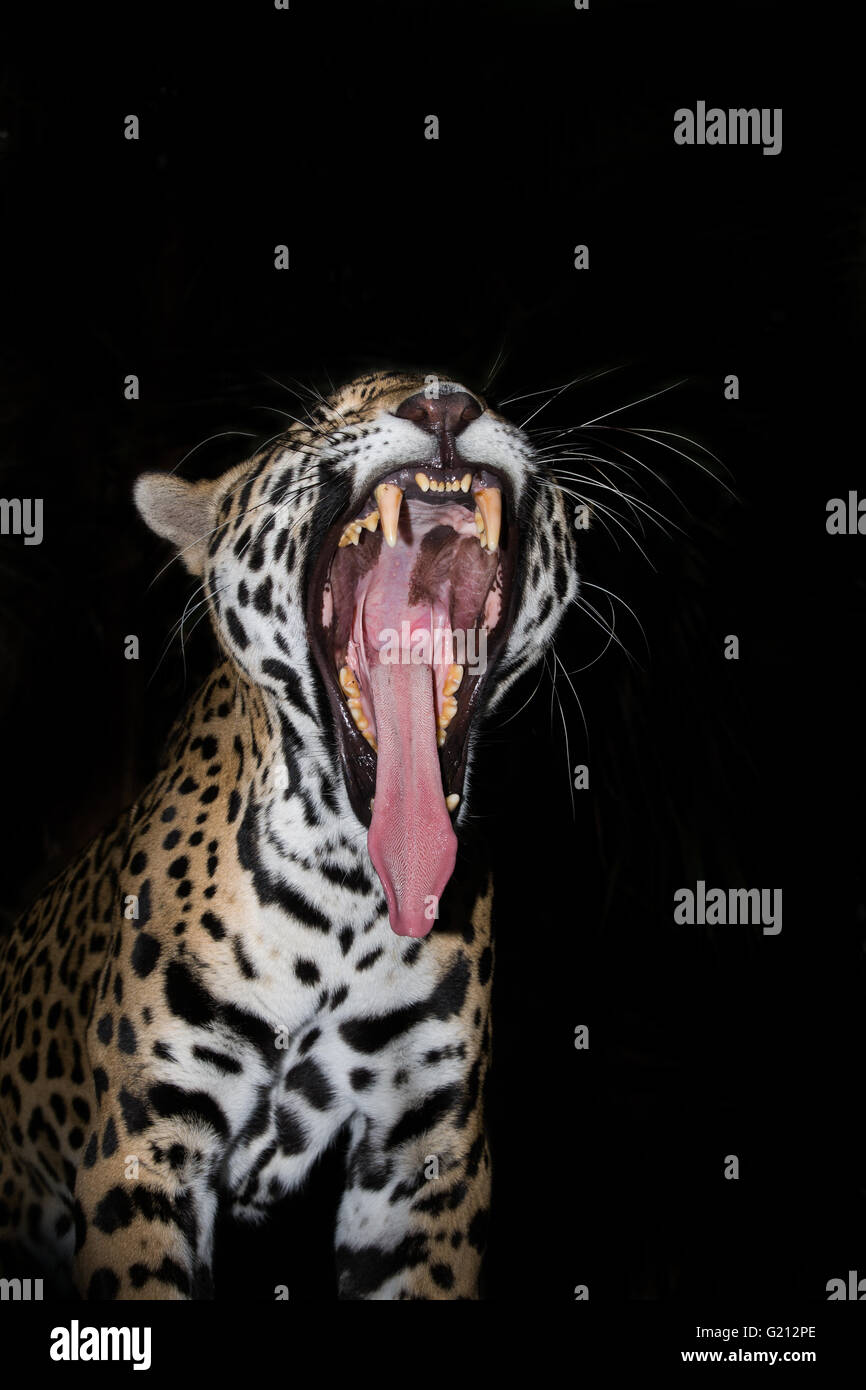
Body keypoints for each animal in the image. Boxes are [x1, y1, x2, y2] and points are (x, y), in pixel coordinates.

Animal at [0, 369, 577, 1299]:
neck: (349, 890)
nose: (446, 404)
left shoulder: (428, 1156)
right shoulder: (143, 1145)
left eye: (488, 401)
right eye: (321, 417)